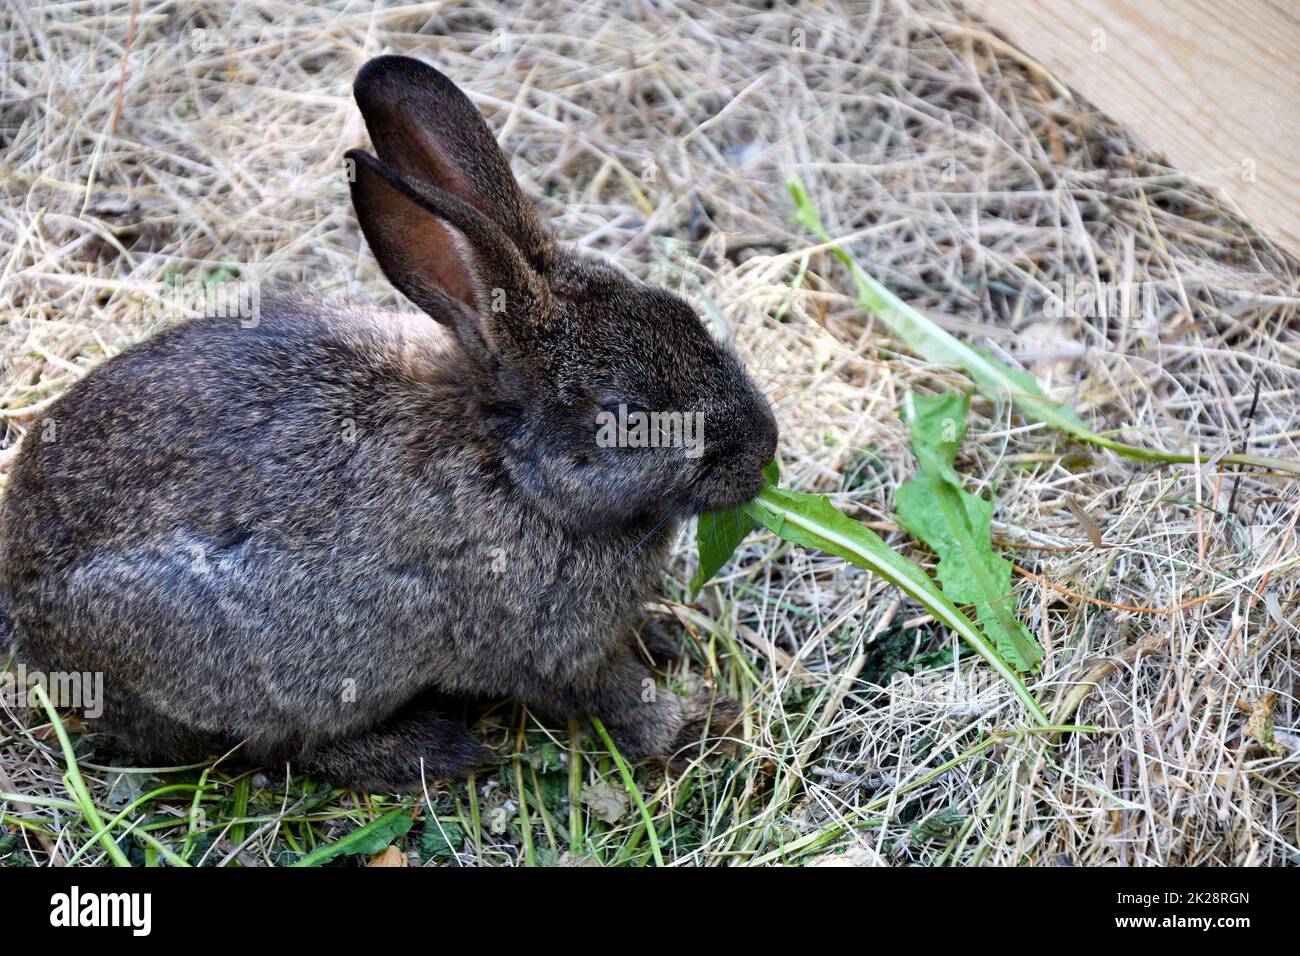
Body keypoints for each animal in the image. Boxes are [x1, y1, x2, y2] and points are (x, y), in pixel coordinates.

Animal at [0, 54, 777, 792]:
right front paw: (705, 726)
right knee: (277, 747)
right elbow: (616, 701)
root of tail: (27, 613)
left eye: (684, 313)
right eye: (629, 417)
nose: (764, 451)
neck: (511, 471)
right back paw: (425, 751)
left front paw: (664, 644)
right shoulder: (554, 649)